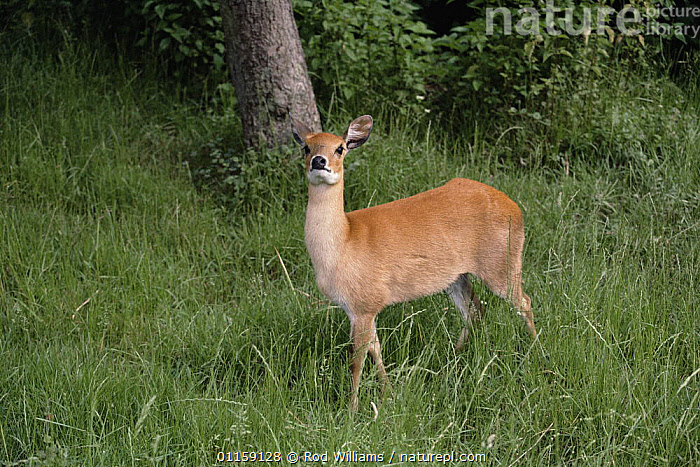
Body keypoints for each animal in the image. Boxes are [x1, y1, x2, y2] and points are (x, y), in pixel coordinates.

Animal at [292, 115, 536, 412]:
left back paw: (536, 352)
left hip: (502, 262)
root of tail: (514, 207)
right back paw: (452, 360)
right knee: (475, 310)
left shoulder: (364, 302)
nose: (318, 161)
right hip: (456, 277)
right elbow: (375, 348)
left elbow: (356, 359)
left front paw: (351, 409)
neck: (343, 243)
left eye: (340, 148)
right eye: (306, 147)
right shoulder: (364, 307)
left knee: (524, 302)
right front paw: (388, 393)